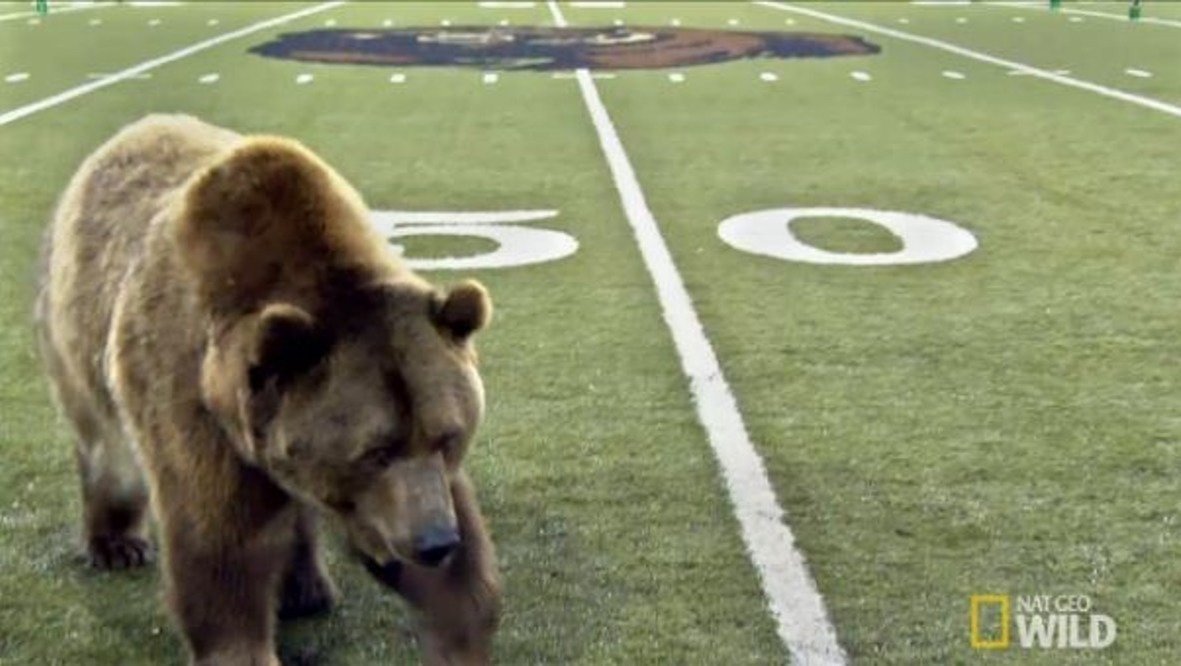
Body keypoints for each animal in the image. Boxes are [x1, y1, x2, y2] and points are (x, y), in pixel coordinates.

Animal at [35, 114, 501, 665]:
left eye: (450, 436)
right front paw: (240, 642)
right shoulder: (194, 402)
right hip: (77, 330)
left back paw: (303, 588)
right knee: (109, 452)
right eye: (375, 451)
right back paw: (118, 545)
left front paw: (458, 619)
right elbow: (220, 548)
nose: (434, 542)